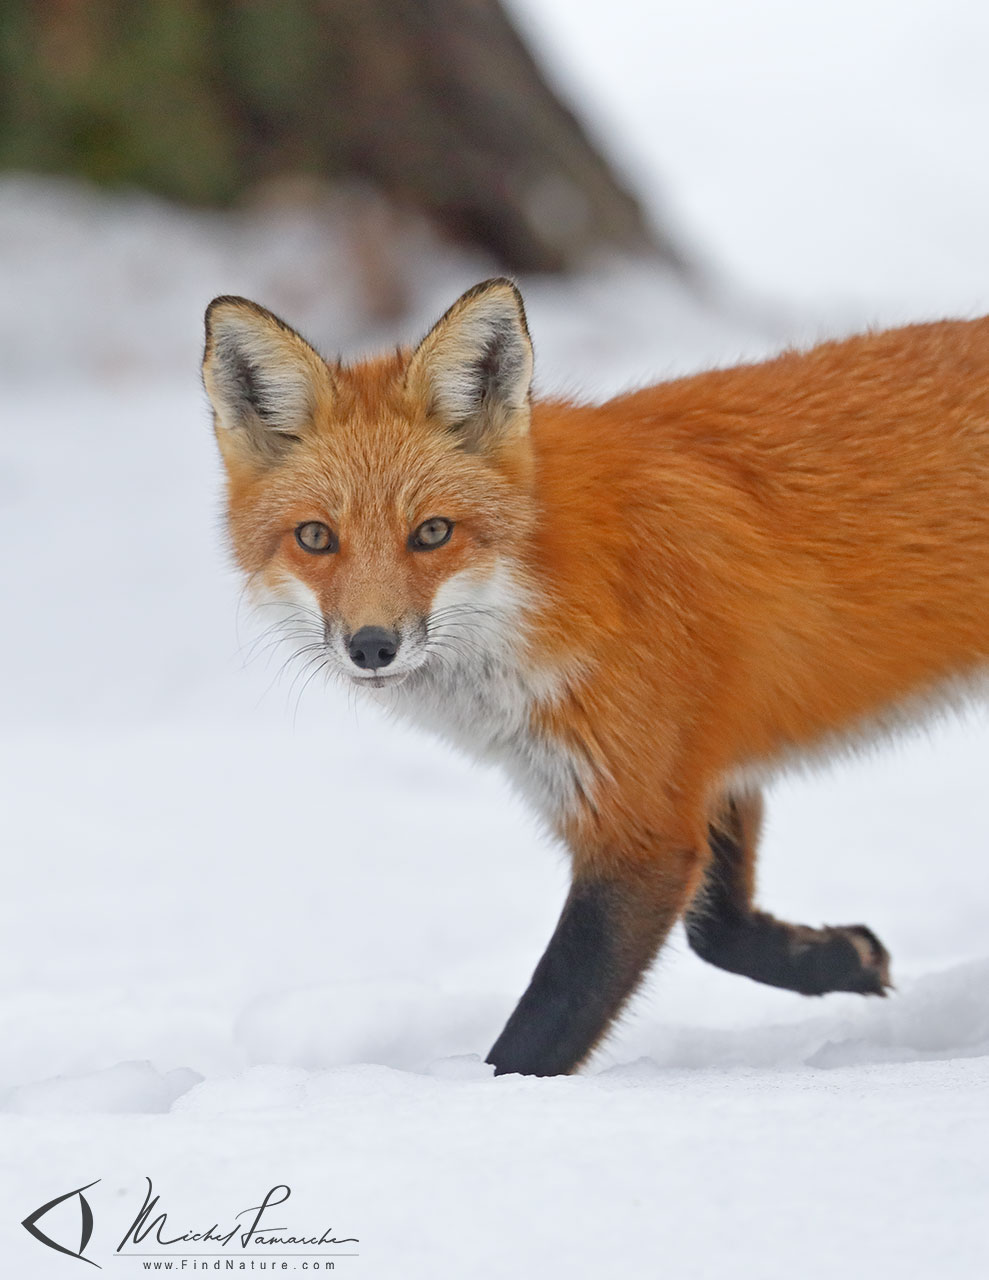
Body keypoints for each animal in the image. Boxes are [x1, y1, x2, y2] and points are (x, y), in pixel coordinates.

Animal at [202, 277, 989, 1077]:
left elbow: (542, 1028)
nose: (370, 646)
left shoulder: (640, 826)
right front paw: (838, 960)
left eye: (432, 532)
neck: (548, 583)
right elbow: (718, 931)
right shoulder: (693, 767)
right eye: (315, 538)